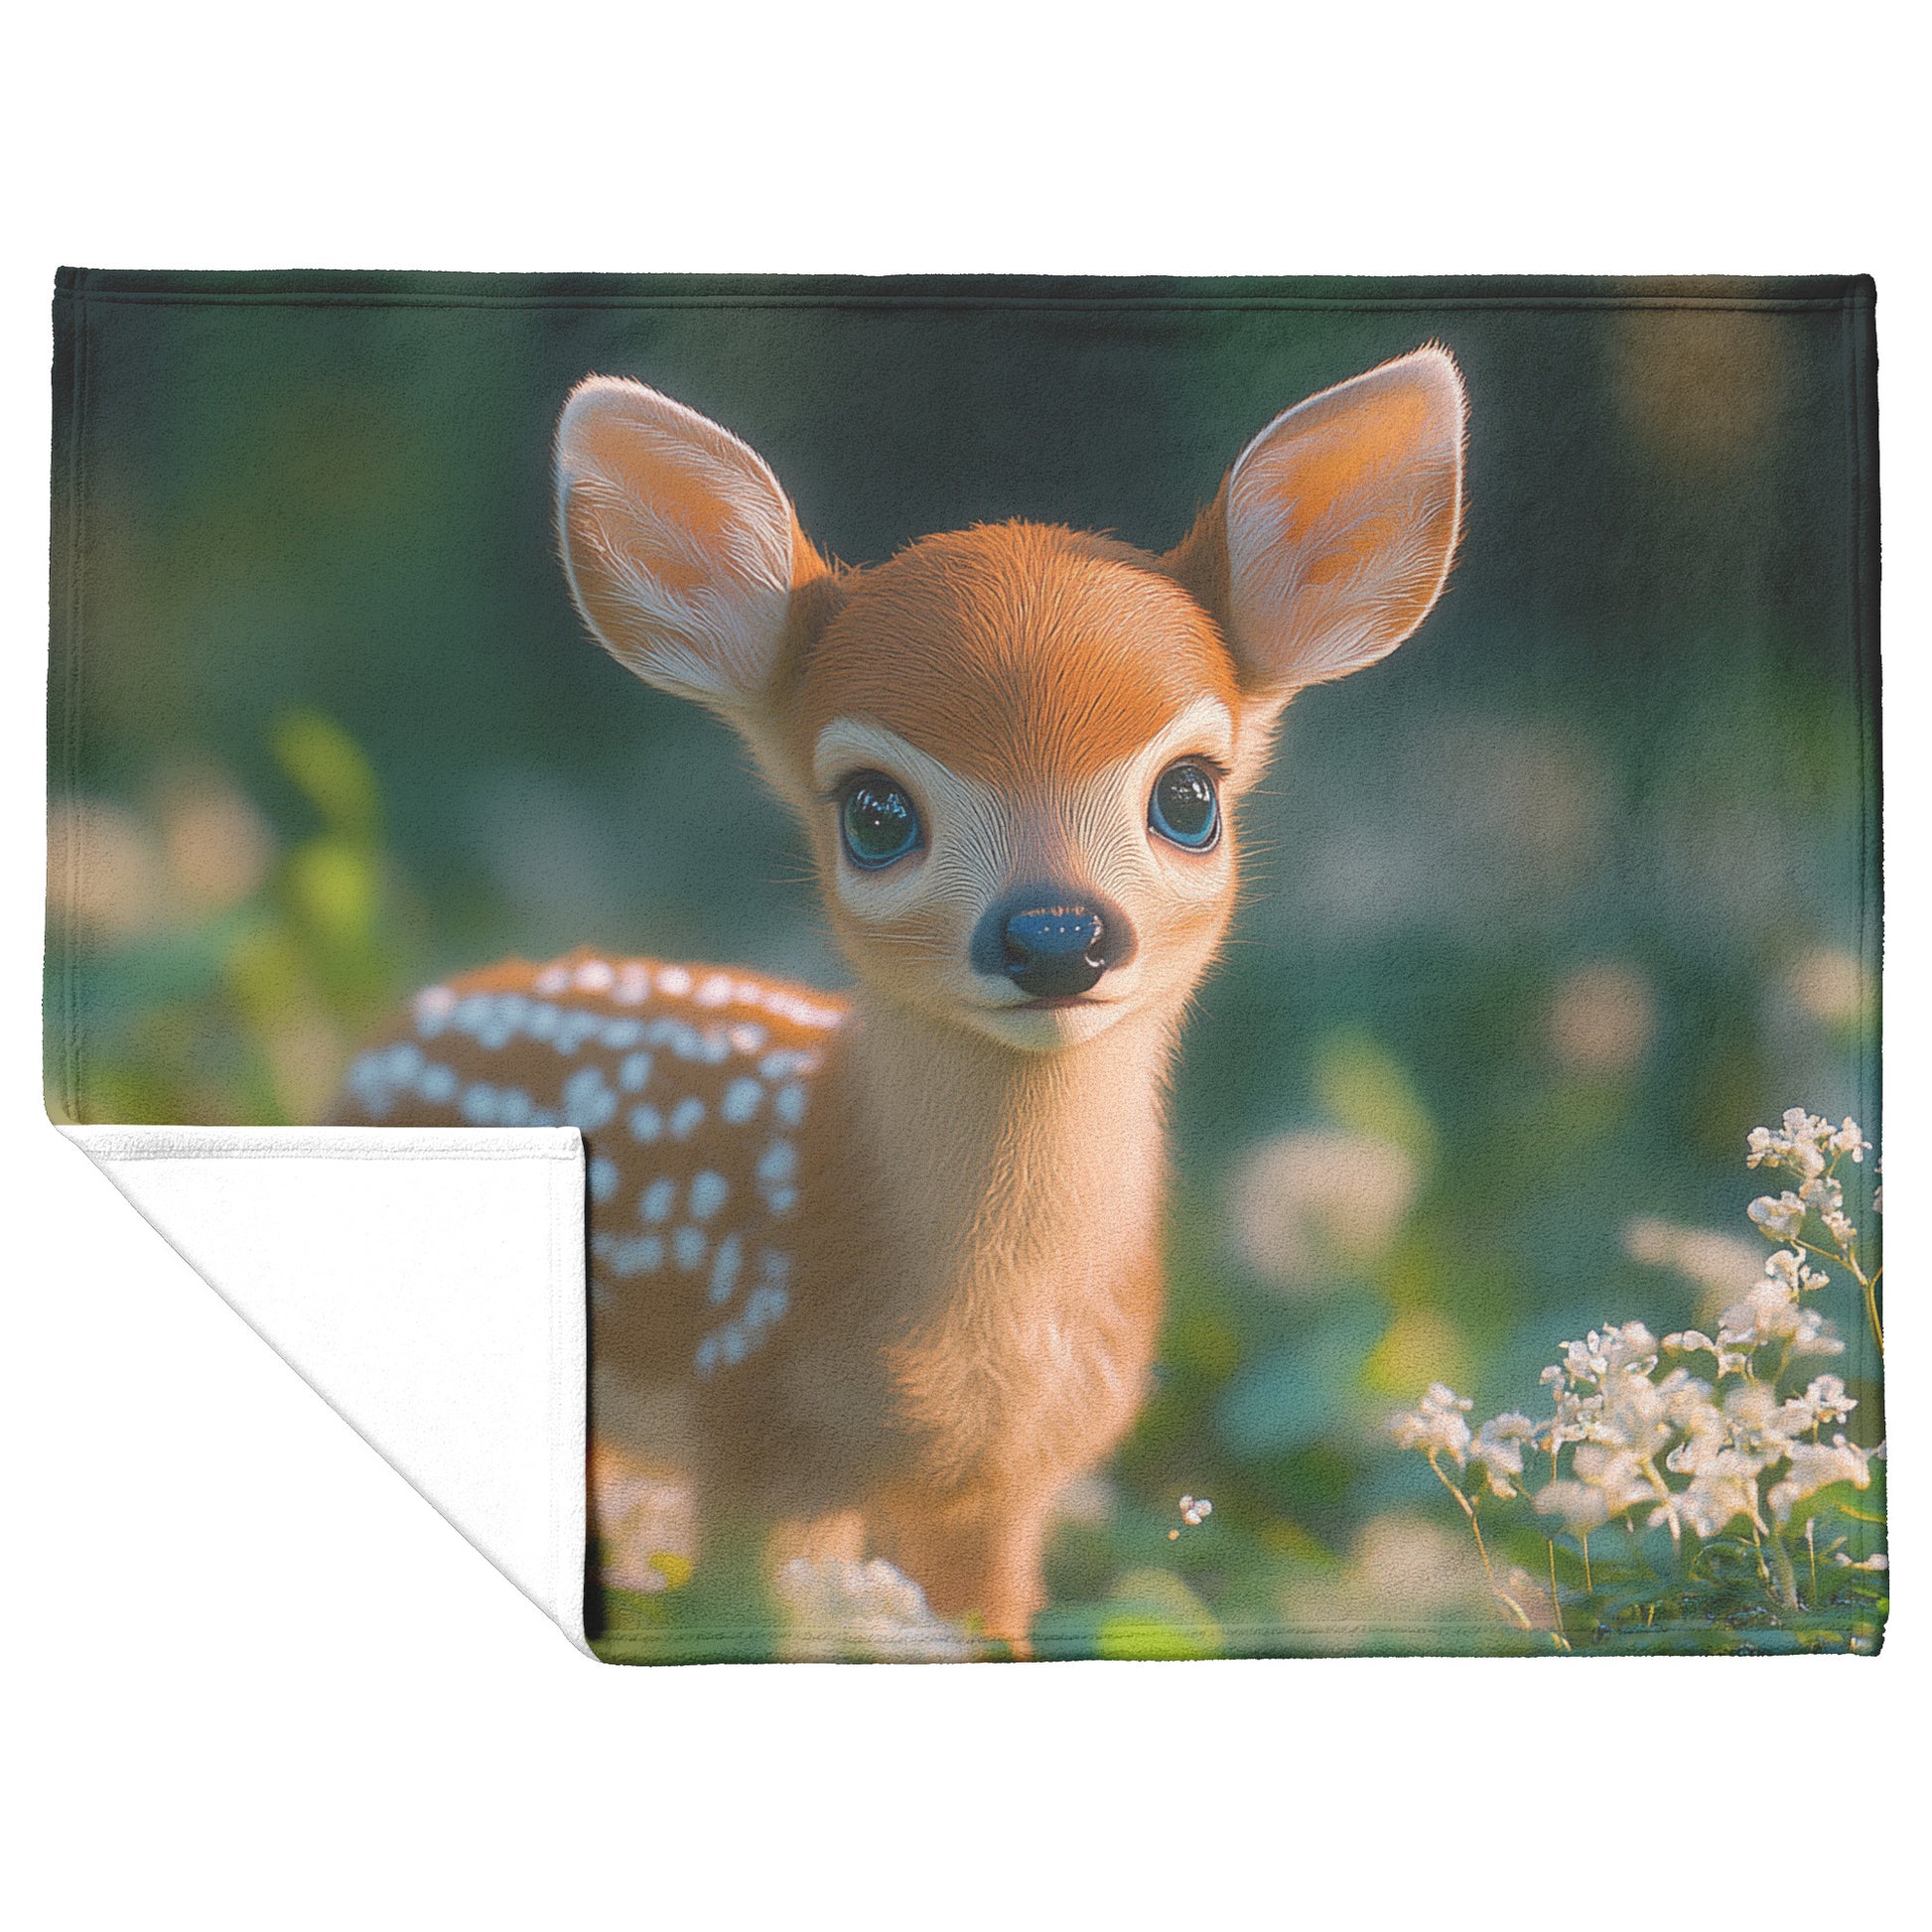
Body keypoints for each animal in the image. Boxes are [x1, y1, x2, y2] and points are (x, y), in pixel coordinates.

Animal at [335, 345, 1467, 1652]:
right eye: (875, 811)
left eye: (1188, 794)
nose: (1054, 934)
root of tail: (378, 1043)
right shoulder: (750, 1422)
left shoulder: (1004, 1485)